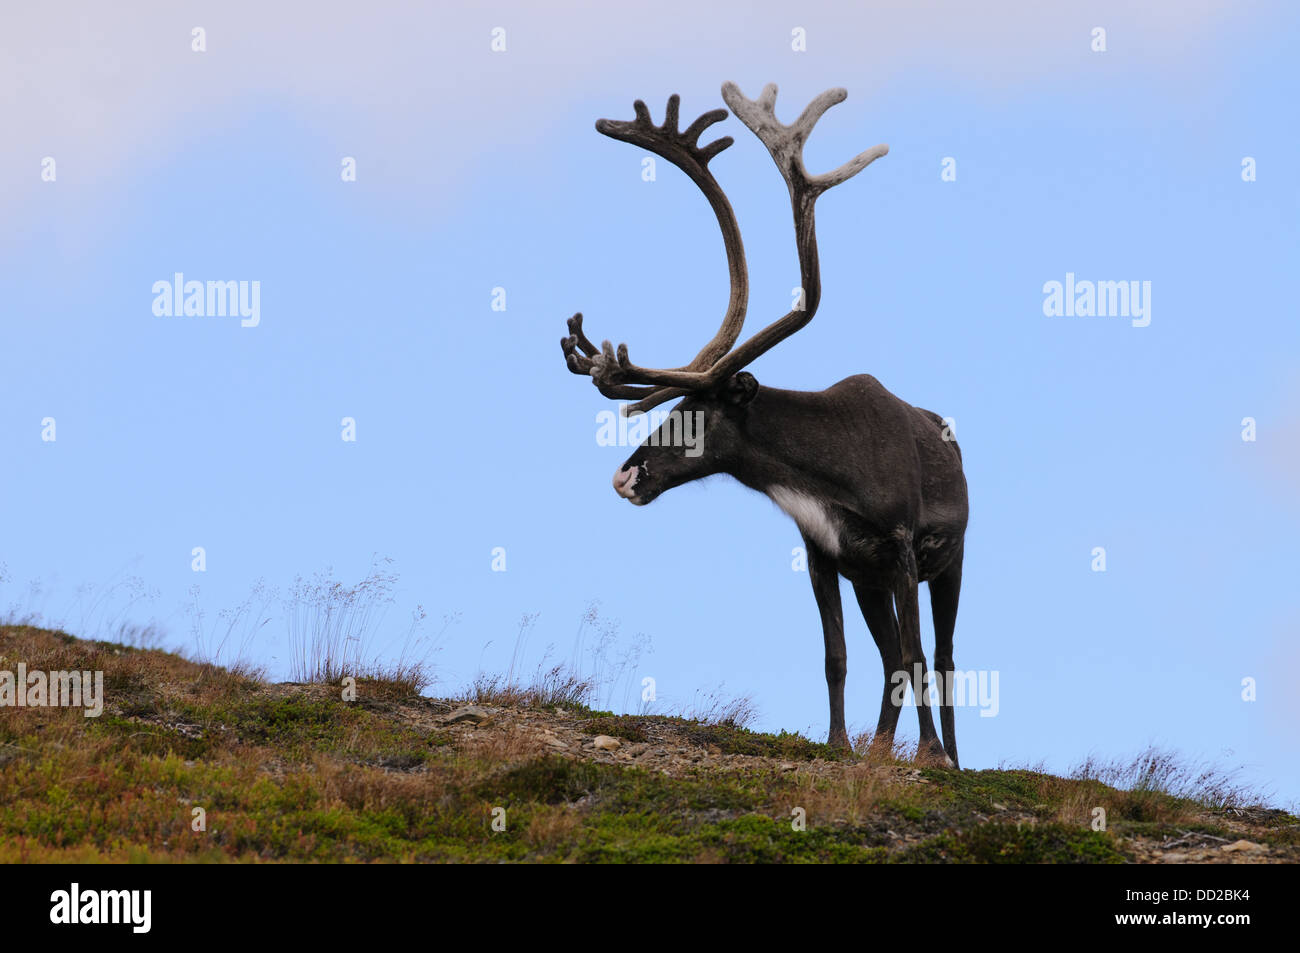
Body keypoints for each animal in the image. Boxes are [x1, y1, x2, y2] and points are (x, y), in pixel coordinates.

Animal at [559, 82, 969, 768]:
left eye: (696, 413)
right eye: (669, 406)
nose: (625, 475)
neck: (829, 476)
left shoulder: (903, 544)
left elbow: (915, 657)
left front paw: (932, 756)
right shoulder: (825, 555)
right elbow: (838, 657)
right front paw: (838, 745)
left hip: (953, 561)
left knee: (941, 657)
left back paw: (949, 755)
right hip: (869, 581)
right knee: (890, 653)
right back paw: (881, 747)